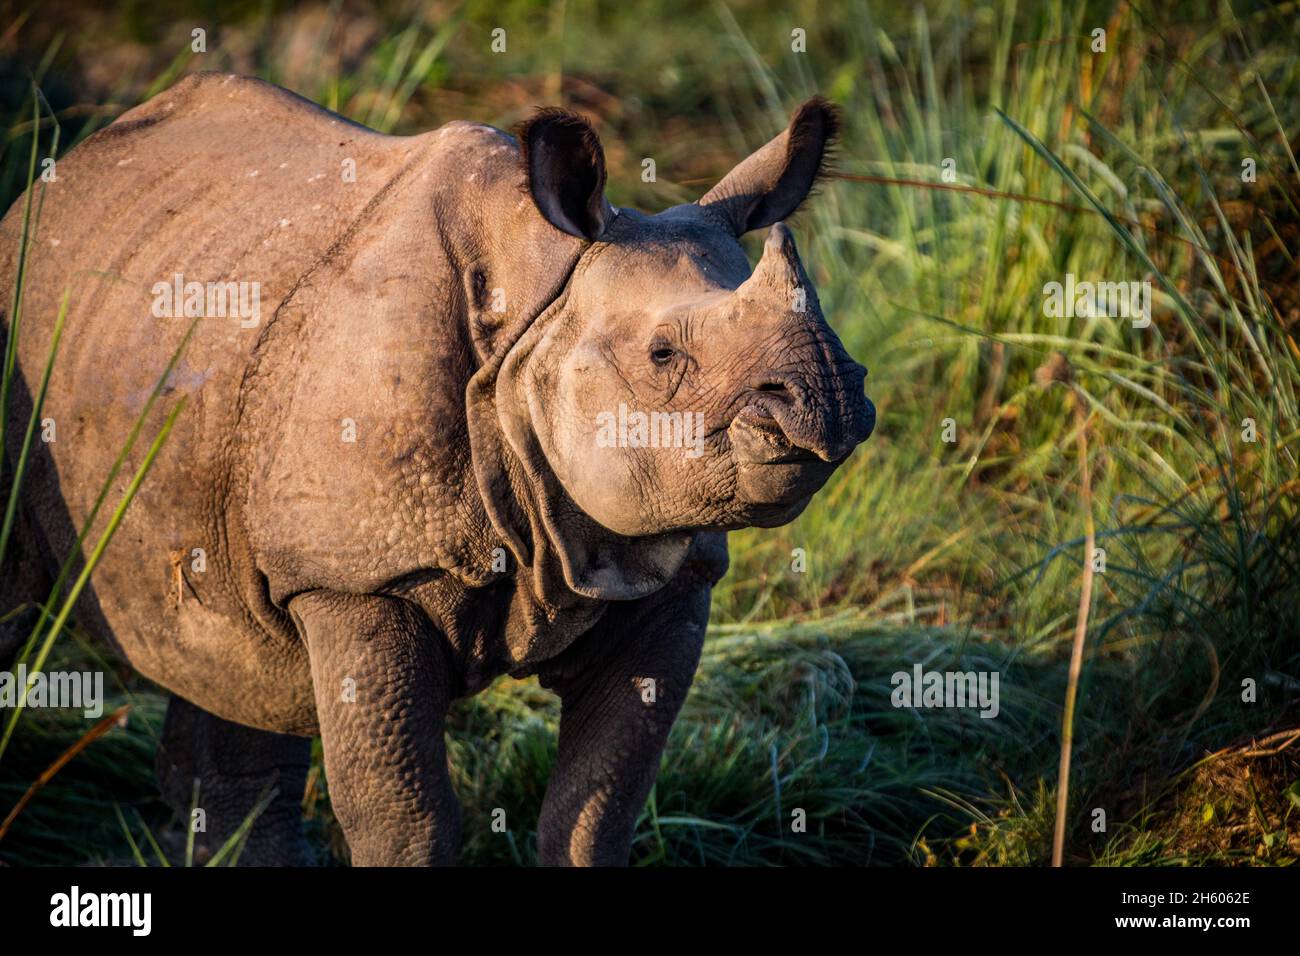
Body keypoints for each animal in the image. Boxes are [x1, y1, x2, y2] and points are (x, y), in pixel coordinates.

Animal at [0, 72, 874, 865]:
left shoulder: (666, 578)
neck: (534, 313)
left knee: (232, 657)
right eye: (663, 356)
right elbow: (407, 820)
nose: (829, 397)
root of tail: (66, 169)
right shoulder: (357, 577)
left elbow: (596, 811)